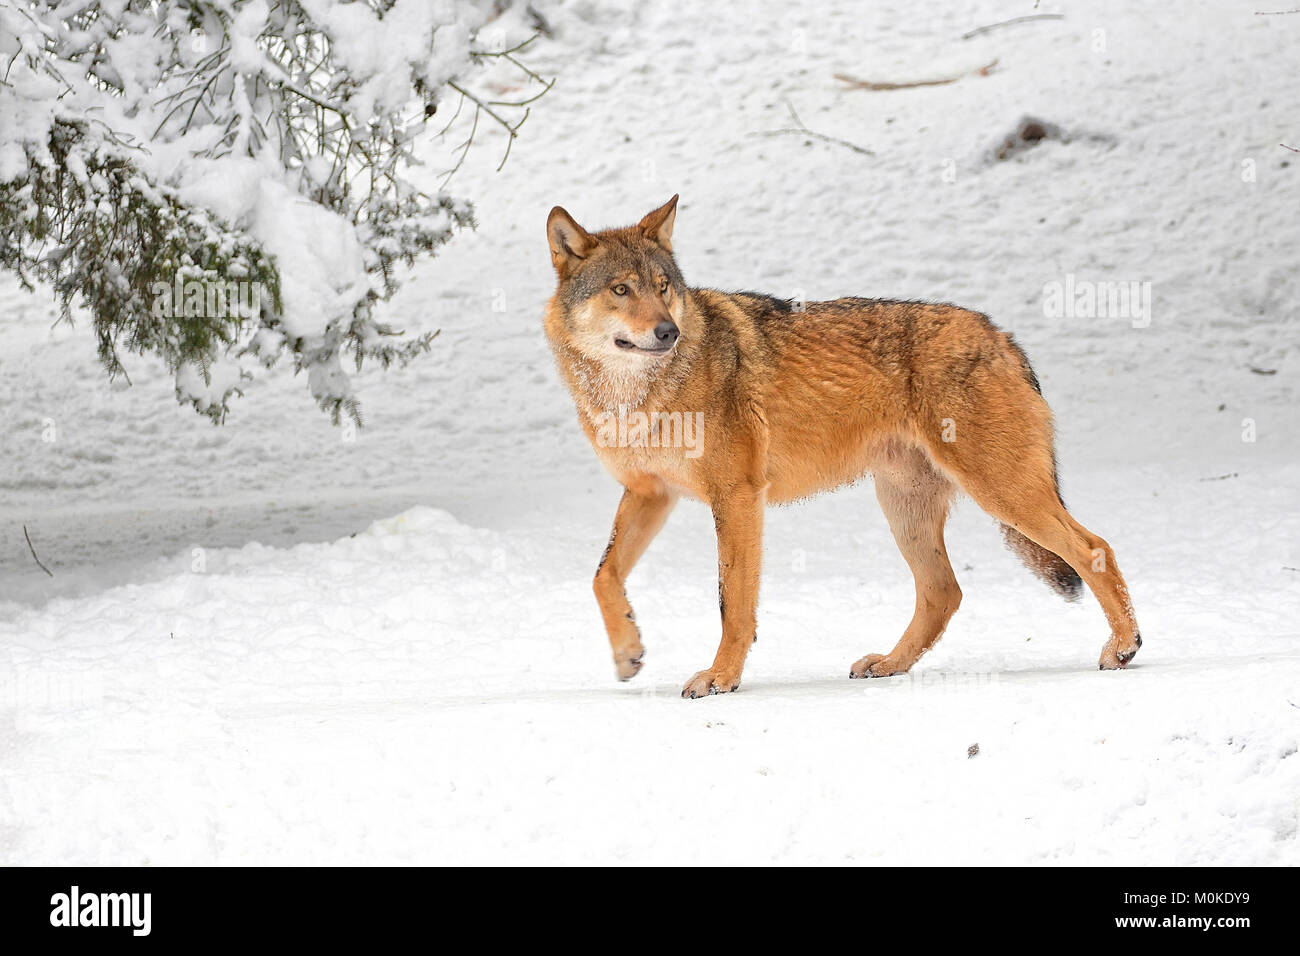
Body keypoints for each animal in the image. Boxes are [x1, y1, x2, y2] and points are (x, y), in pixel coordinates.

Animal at [543, 195, 1140, 698]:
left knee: (1096, 548)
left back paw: (1124, 647)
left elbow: (732, 603)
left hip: (1001, 493)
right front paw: (628, 652)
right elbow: (602, 576)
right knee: (944, 592)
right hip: (905, 507)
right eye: (621, 290)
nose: (667, 331)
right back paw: (890, 665)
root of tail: (1003, 336)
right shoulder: (650, 494)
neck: (640, 394)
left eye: (663, 285)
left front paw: (720, 677)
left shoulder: (737, 496)